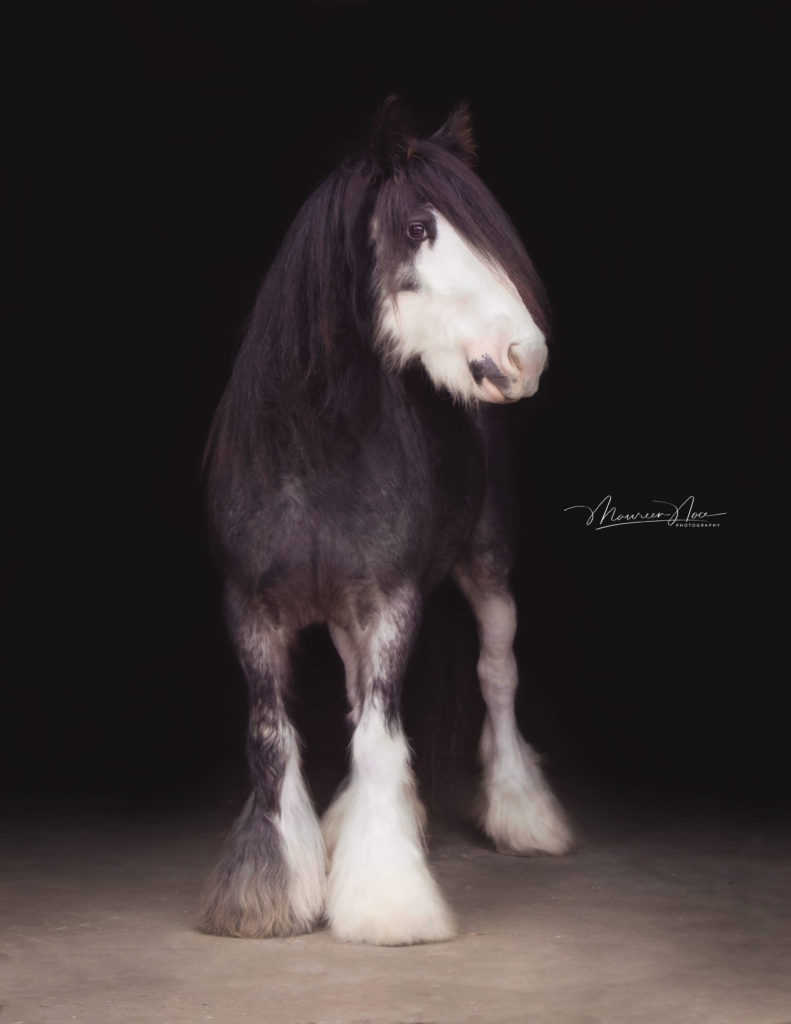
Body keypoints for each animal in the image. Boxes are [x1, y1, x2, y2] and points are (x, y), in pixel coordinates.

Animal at [199, 98, 572, 946]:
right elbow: (271, 737)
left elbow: (378, 736)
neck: (311, 456)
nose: (524, 355)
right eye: (417, 228)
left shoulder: (388, 604)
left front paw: (386, 903)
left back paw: (524, 816)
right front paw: (268, 897)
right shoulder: (251, 610)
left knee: (495, 674)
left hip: (488, 570)